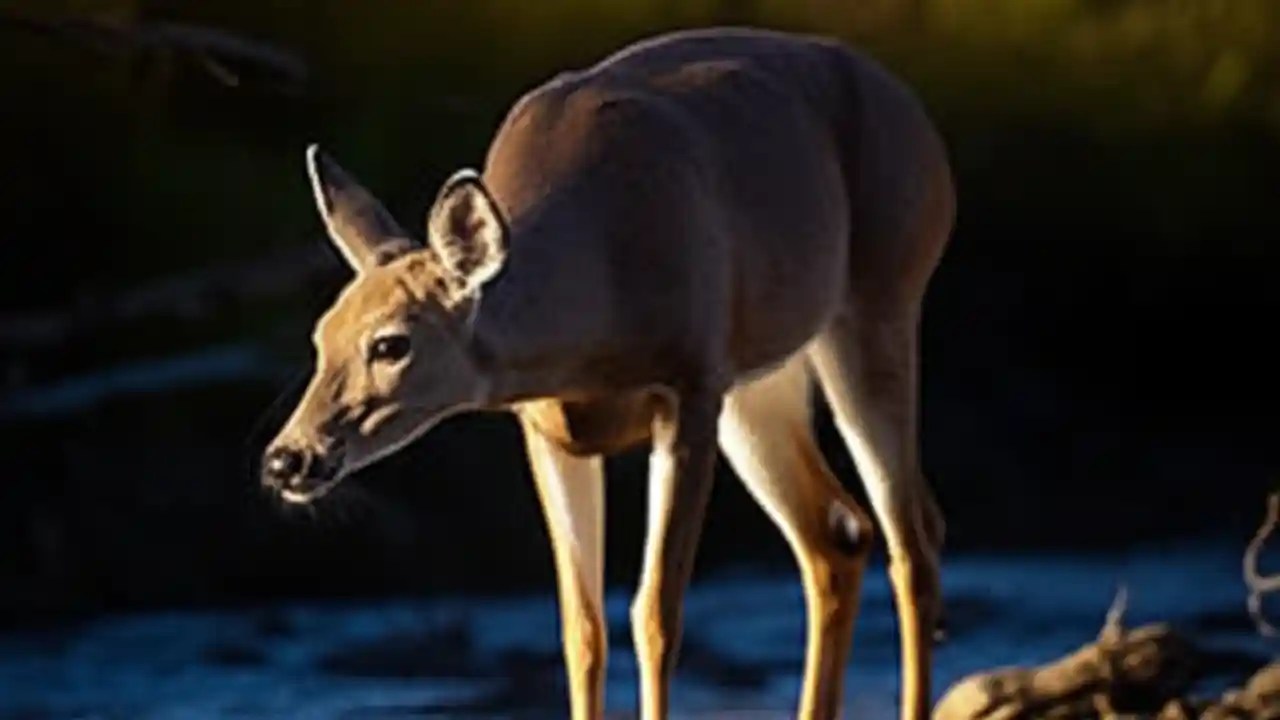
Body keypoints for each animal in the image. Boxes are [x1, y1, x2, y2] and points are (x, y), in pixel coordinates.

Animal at [260, 26, 953, 720]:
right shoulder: (547, 429)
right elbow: (581, 627)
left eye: (390, 344)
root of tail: (921, 124)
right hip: (760, 383)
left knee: (911, 543)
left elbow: (656, 615)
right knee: (836, 537)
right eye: (320, 336)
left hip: (880, 300)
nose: (286, 458)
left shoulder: (691, 385)